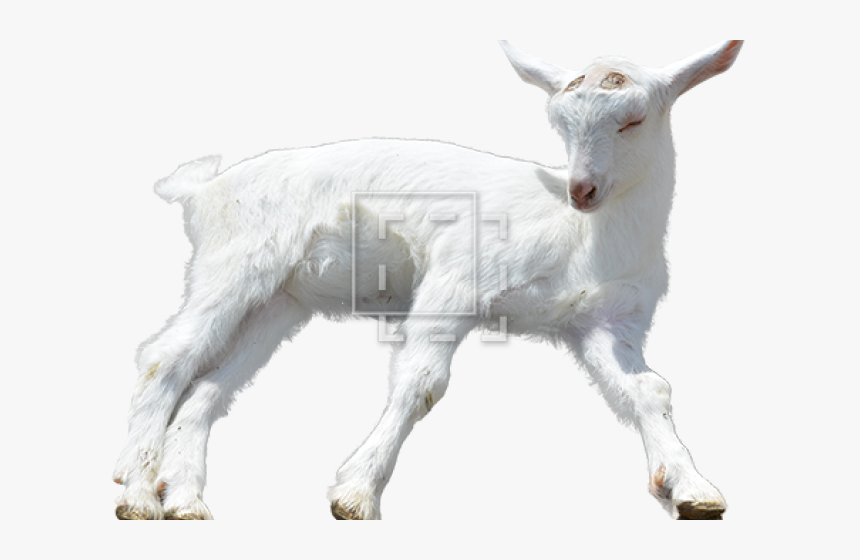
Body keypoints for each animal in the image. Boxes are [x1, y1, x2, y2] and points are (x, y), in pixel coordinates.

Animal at [114, 40, 743, 520]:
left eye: (633, 120)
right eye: (560, 124)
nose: (581, 189)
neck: (582, 235)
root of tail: (203, 189)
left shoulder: (604, 322)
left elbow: (650, 389)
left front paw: (694, 491)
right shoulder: (457, 280)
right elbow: (421, 382)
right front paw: (355, 493)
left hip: (279, 301)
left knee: (208, 387)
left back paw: (185, 501)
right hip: (235, 263)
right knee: (164, 357)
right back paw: (138, 494)